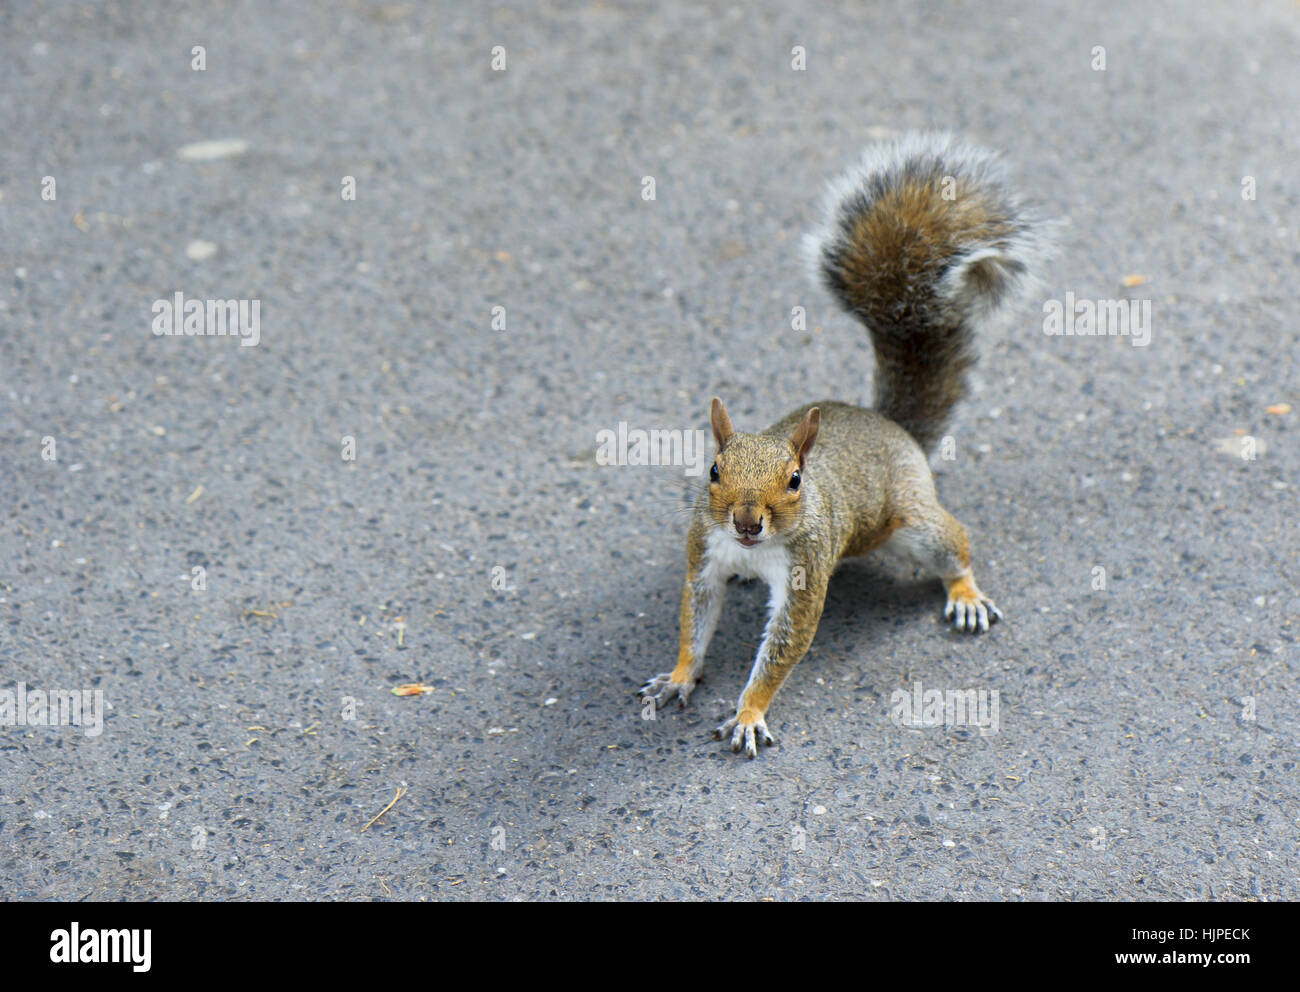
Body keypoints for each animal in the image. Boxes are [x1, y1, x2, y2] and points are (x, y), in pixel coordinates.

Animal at [638, 133, 1050, 758]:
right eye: (712, 470)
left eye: (795, 480)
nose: (746, 522)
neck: (756, 549)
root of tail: (890, 426)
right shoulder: (703, 554)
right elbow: (695, 617)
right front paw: (680, 676)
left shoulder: (806, 572)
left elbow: (785, 643)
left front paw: (749, 713)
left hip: (913, 522)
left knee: (952, 543)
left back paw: (965, 595)